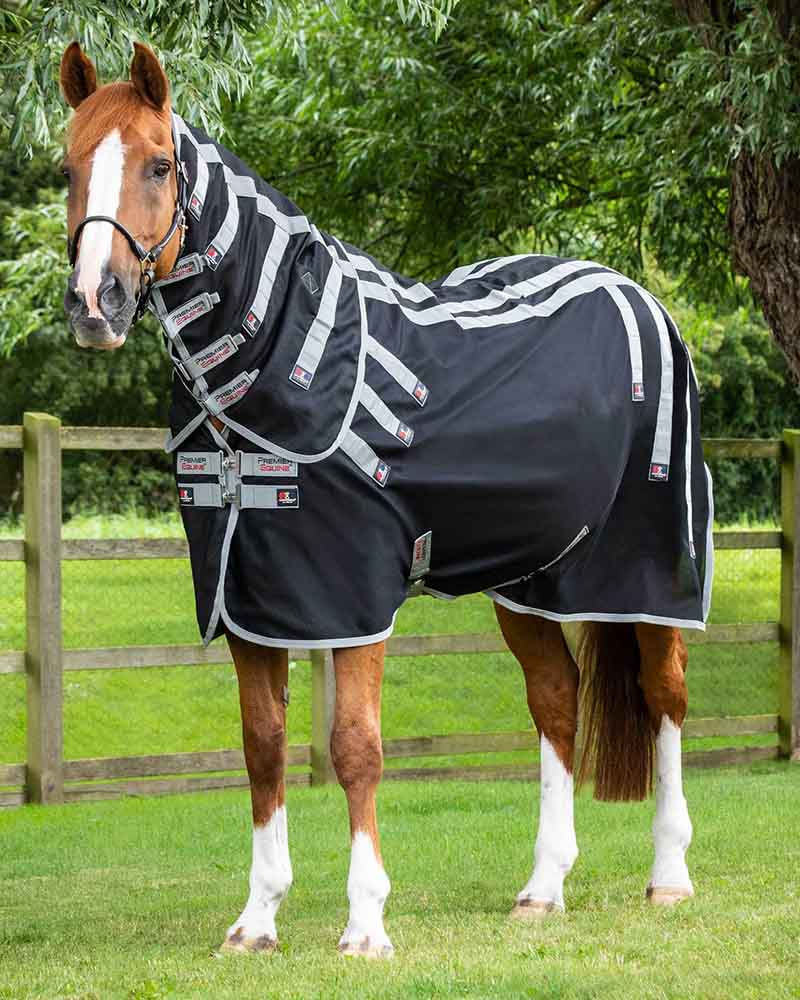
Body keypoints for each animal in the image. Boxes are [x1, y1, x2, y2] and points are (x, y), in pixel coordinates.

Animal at [59, 41, 712, 957]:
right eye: (68, 168)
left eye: (157, 163)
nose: (96, 303)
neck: (272, 370)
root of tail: (638, 296)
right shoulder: (251, 595)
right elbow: (264, 746)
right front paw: (256, 920)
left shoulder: (351, 593)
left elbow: (355, 747)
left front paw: (366, 924)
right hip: (526, 581)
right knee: (556, 700)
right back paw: (543, 887)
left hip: (648, 576)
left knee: (665, 697)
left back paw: (669, 876)